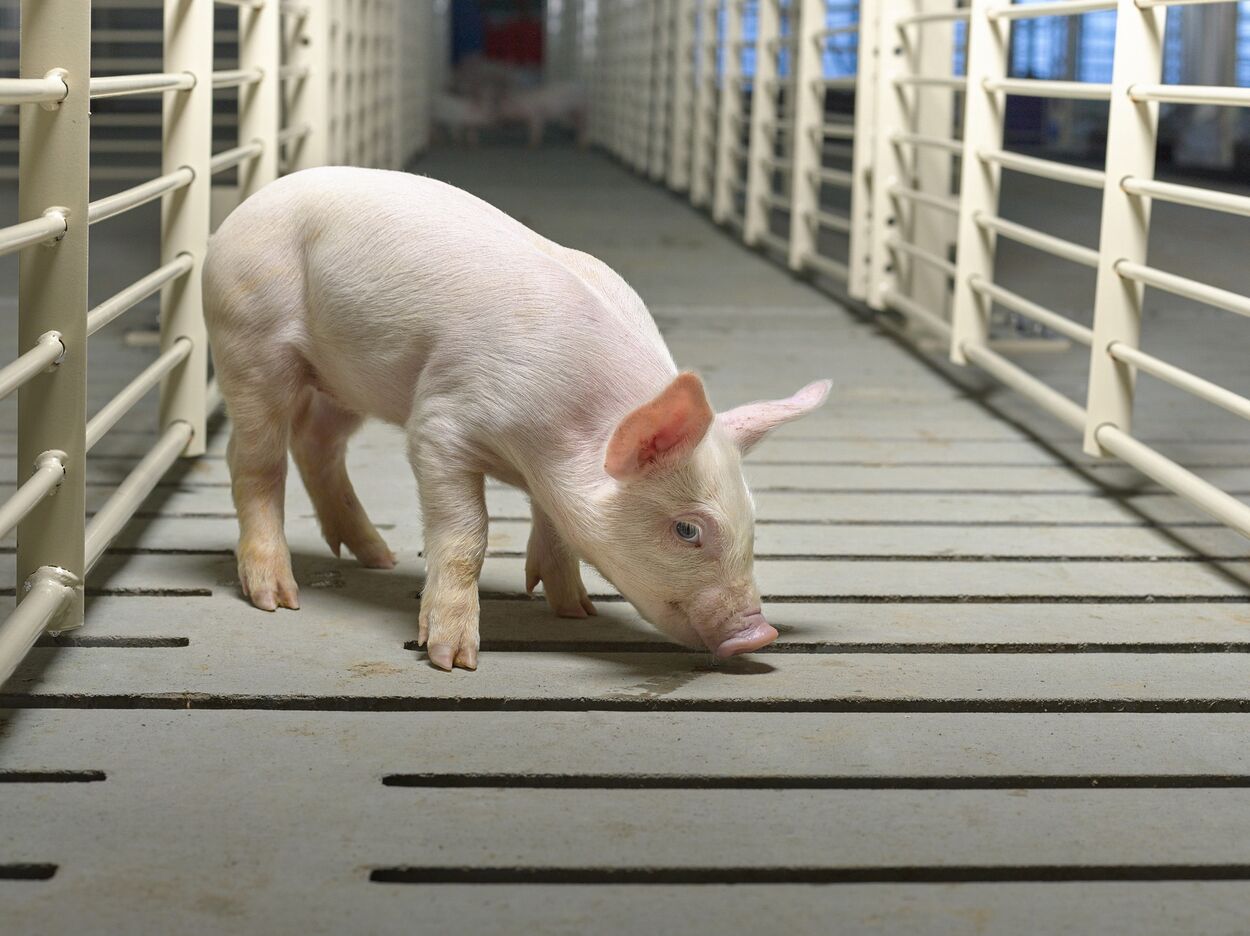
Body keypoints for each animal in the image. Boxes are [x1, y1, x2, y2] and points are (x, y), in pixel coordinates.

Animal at [203, 167, 830, 671]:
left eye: (752, 518)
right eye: (688, 529)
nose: (760, 634)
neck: (543, 445)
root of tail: (242, 210)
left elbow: (555, 525)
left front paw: (576, 611)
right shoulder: (440, 423)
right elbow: (467, 534)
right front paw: (453, 660)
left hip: (346, 378)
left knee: (317, 442)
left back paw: (379, 558)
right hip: (248, 338)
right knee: (254, 459)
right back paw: (278, 597)